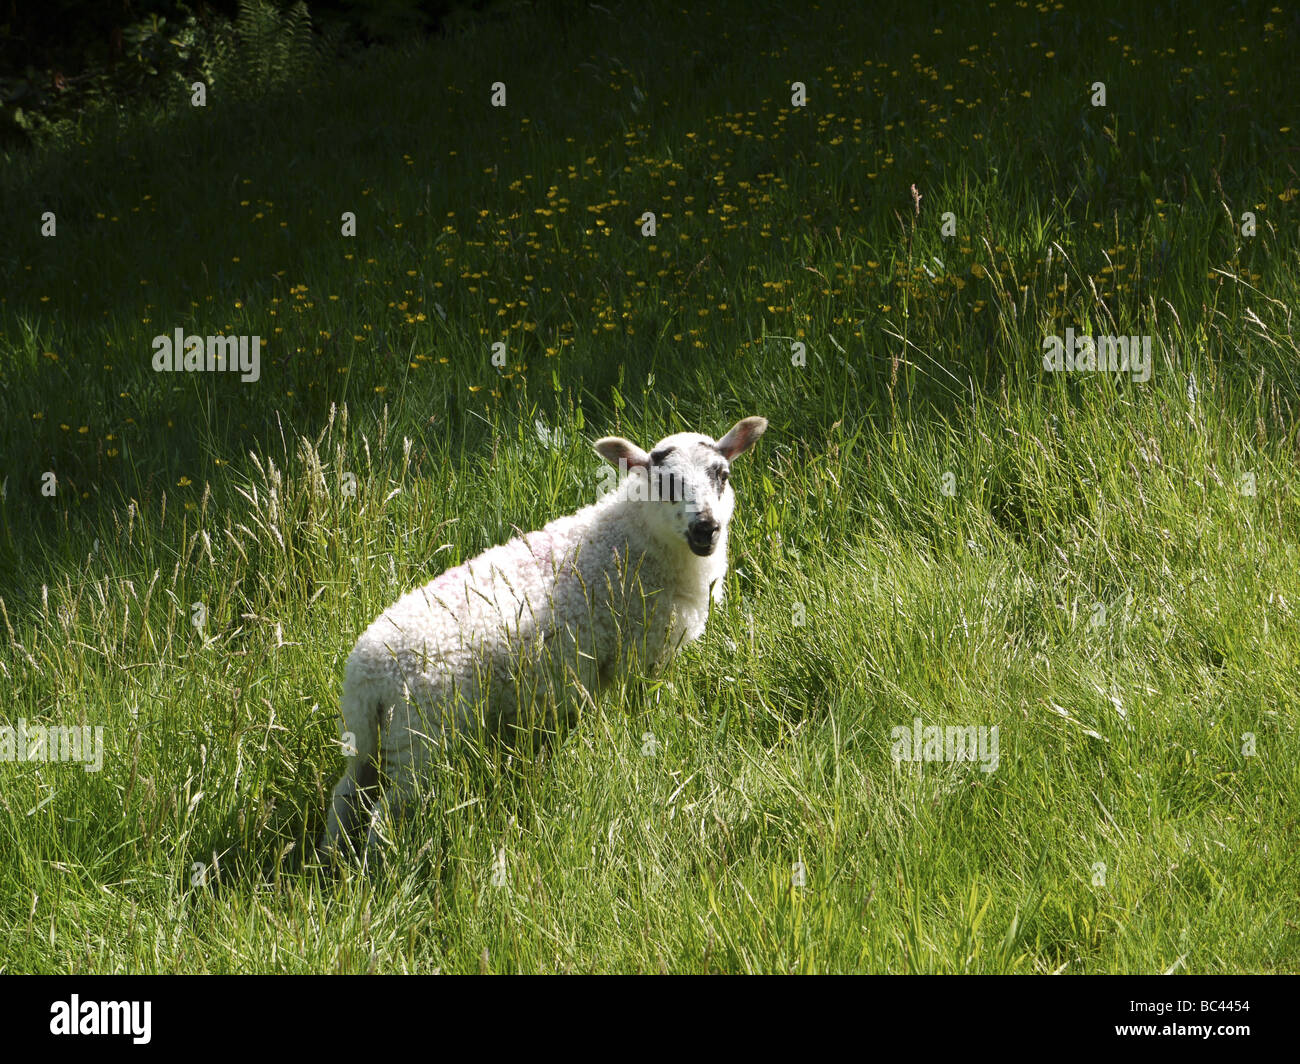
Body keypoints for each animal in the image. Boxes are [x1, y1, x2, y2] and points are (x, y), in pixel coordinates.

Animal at [322, 416, 768, 856]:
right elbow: (639, 711)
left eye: (722, 475)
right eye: (666, 482)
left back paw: (333, 859)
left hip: (370, 739)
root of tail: (368, 673)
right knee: (383, 816)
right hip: (421, 738)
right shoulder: (638, 656)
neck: (636, 538)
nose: (706, 527)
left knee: (344, 795)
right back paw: (377, 866)